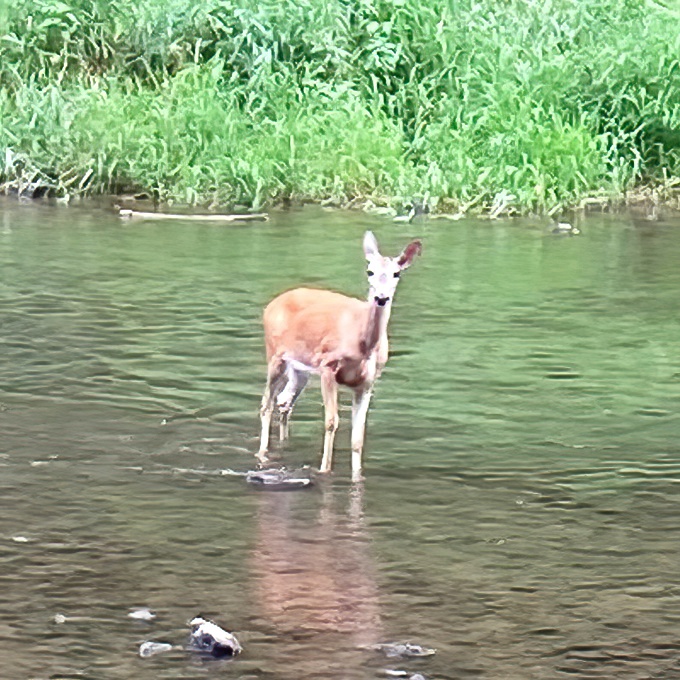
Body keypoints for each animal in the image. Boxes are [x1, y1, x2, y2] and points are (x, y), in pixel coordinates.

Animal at [257, 231, 421, 481]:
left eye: (397, 273)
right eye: (369, 271)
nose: (381, 298)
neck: (363, 344)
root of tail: (272, 303)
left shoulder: (368, 382)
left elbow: (358, 437)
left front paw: (357, 476)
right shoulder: (328, 365)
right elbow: (331, 422)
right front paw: (325, 469)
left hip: (300, 369)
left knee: (285, 402)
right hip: (275, 355)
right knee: (266, 404)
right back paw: (262, 453)